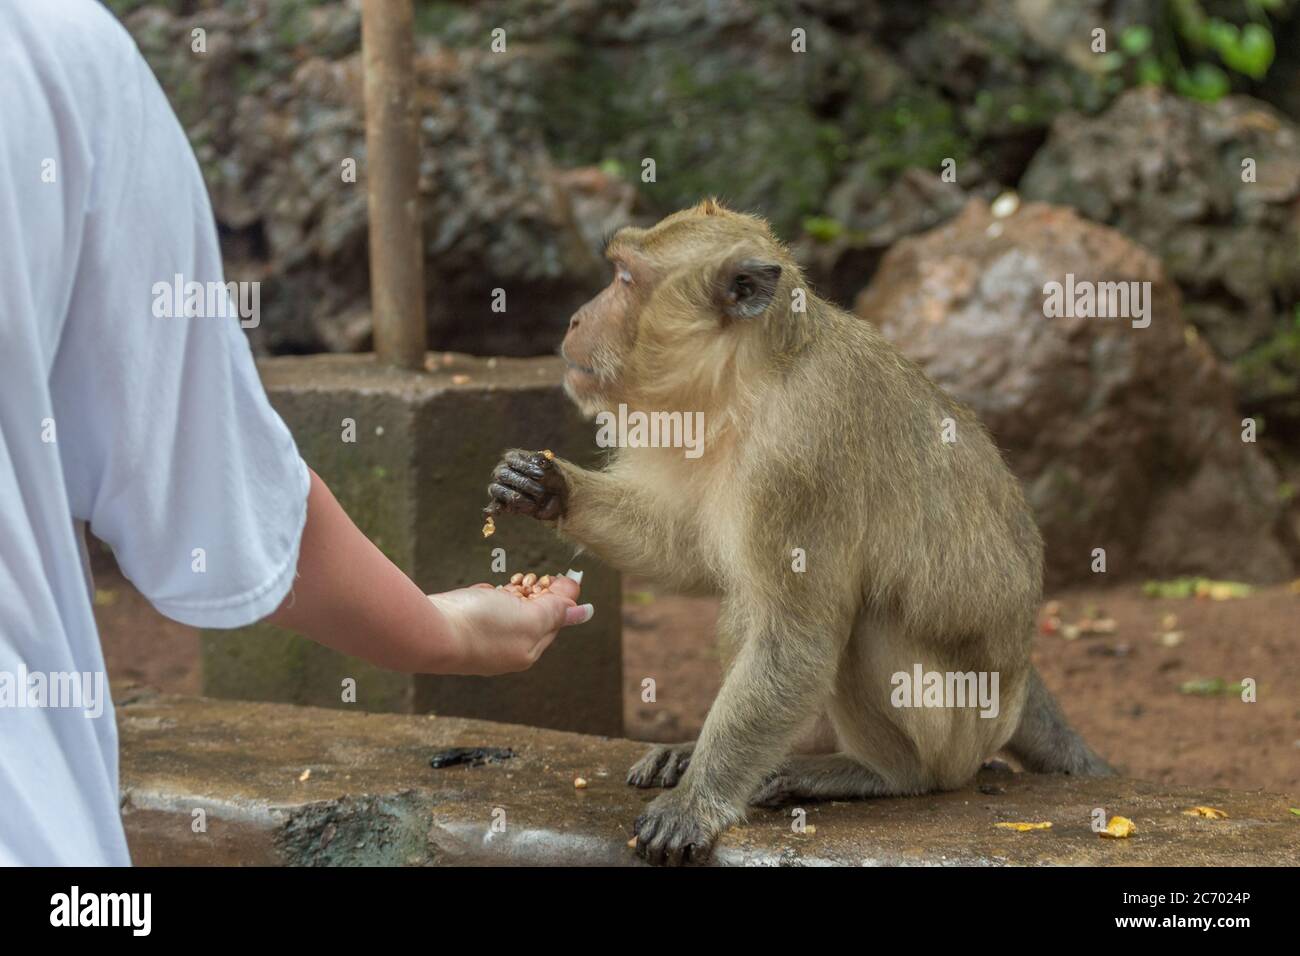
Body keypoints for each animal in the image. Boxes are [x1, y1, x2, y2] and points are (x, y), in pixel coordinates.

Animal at [486, 198, 1113, 866]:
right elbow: (683, 546)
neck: (750, 377)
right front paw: (548, 487)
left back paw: (881, 773)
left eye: (625, 279)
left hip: (960, 734)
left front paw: (695, 805)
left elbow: (799, 642)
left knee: (860, 623)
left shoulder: (797, 459)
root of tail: (1019, 680)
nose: (576, 318)